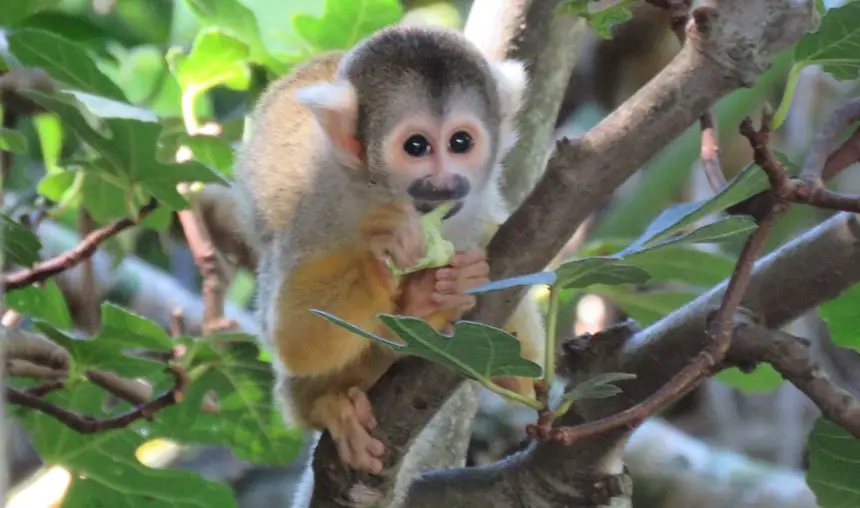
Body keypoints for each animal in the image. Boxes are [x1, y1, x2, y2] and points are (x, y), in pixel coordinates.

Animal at [233, 24, 546, 475]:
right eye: (416, 147)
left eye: (460, 142)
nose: (444, 184)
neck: (380, 189)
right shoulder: (315, 204)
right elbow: (293, 339)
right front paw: (386, 250)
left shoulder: (482, 205)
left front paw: (449, 285)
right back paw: (328, 402)